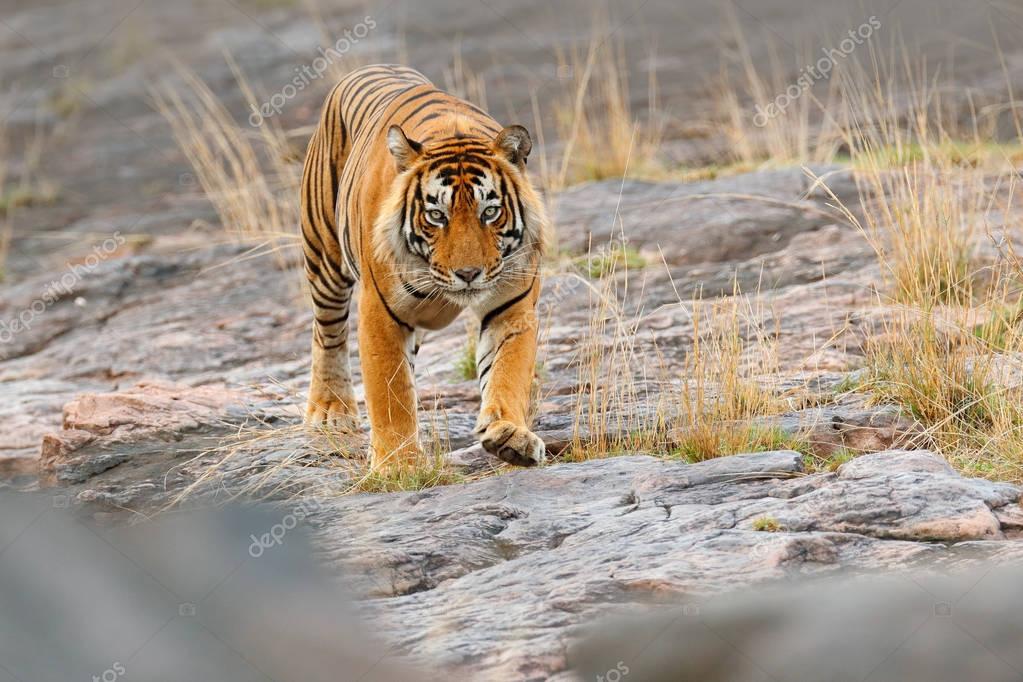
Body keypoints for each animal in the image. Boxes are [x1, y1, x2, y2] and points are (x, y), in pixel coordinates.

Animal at [300, 64, 551, 474]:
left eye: (490, 212)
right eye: (436, 215)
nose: (469, 274)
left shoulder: (512, 306)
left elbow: (507, 371)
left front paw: (510, 436)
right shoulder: (380, 310)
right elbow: (389, 390)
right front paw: (397, 464)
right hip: (323, 254)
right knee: (328, 332)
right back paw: (330, 411)